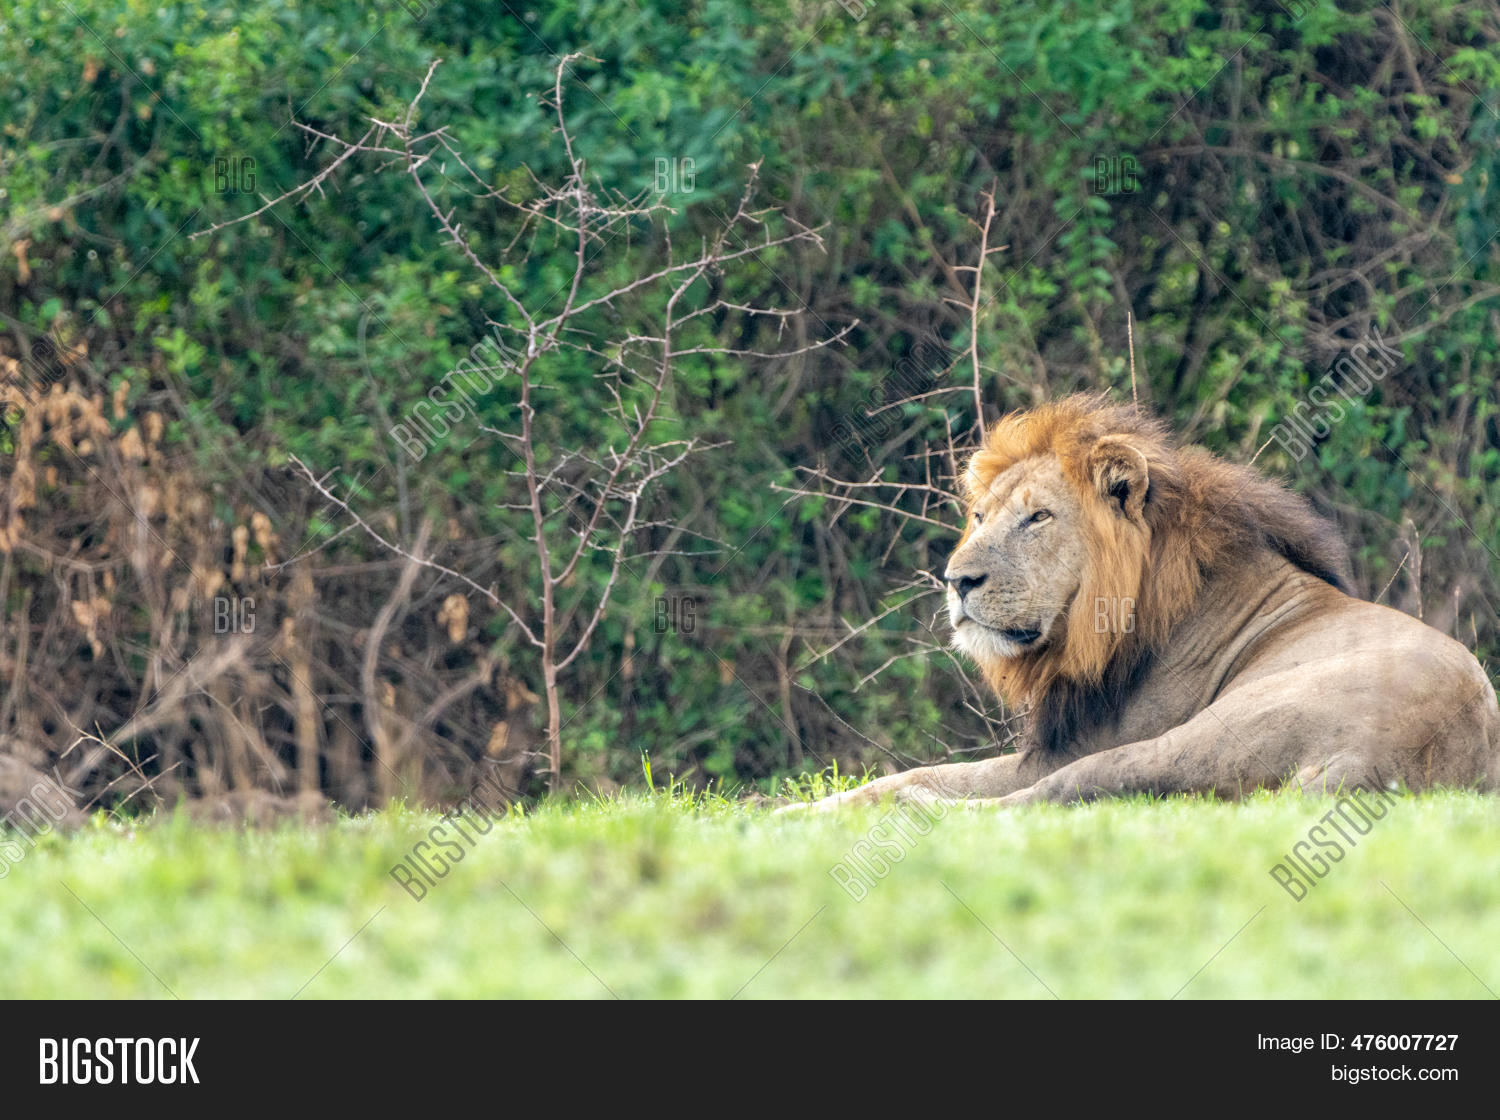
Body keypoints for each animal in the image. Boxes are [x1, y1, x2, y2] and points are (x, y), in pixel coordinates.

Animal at [802, 394, 1499, 808]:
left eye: (1038, 518)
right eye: (978, 516)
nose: (956, 580)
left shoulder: (1066, 747)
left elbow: (925, 776)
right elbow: (896, 771)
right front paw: (797, 809)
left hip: (1202, 734)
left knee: (1047, 798)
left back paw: (922, 814)